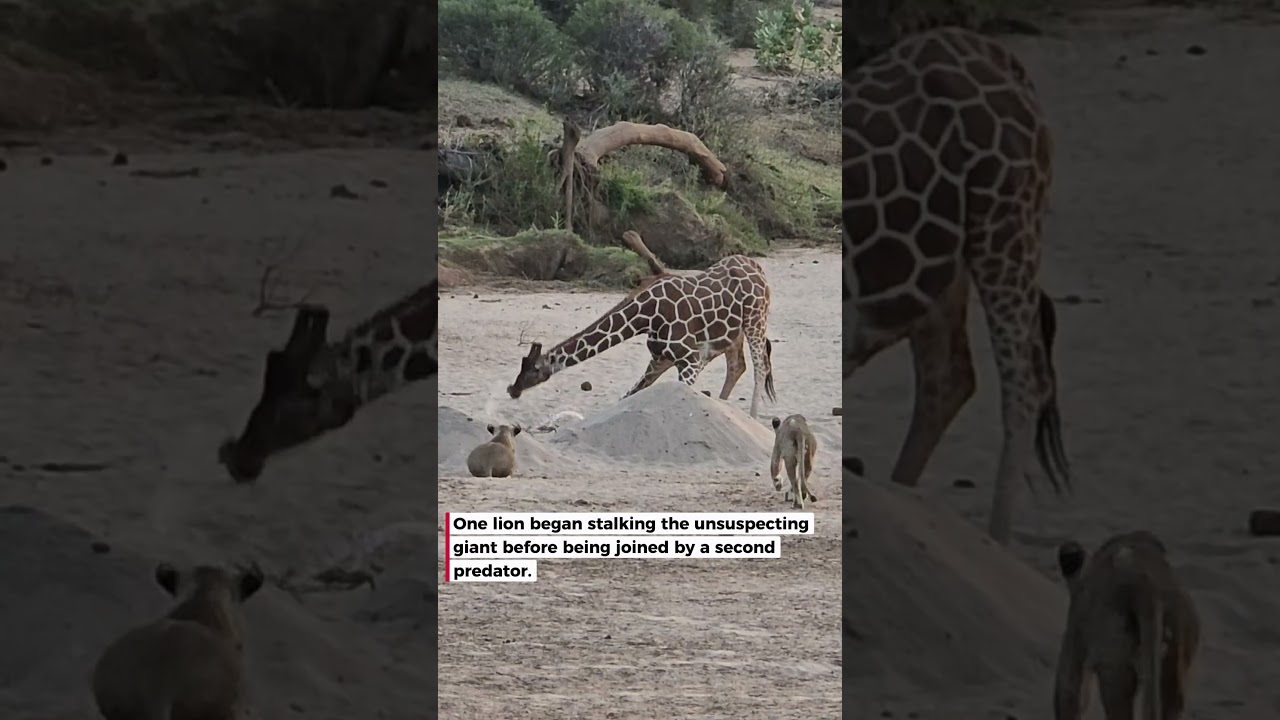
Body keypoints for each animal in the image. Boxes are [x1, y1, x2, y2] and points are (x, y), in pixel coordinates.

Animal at [507, 254, 777, 418]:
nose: (513, 389)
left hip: (756, 319)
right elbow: (629, 395)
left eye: (534, 369)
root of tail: (757, 266)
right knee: (737, 366)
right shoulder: (661, 359)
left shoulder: (689, 359)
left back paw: (752, 417)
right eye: (521, 365)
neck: (646, 317)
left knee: (760, 367)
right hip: (731, 334)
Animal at [844, 27, 1071, 545]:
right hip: (950, 264)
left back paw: (994, 541)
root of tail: (1004, 59)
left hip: (1007, 224)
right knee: (949, 378)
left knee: (1023, 384)